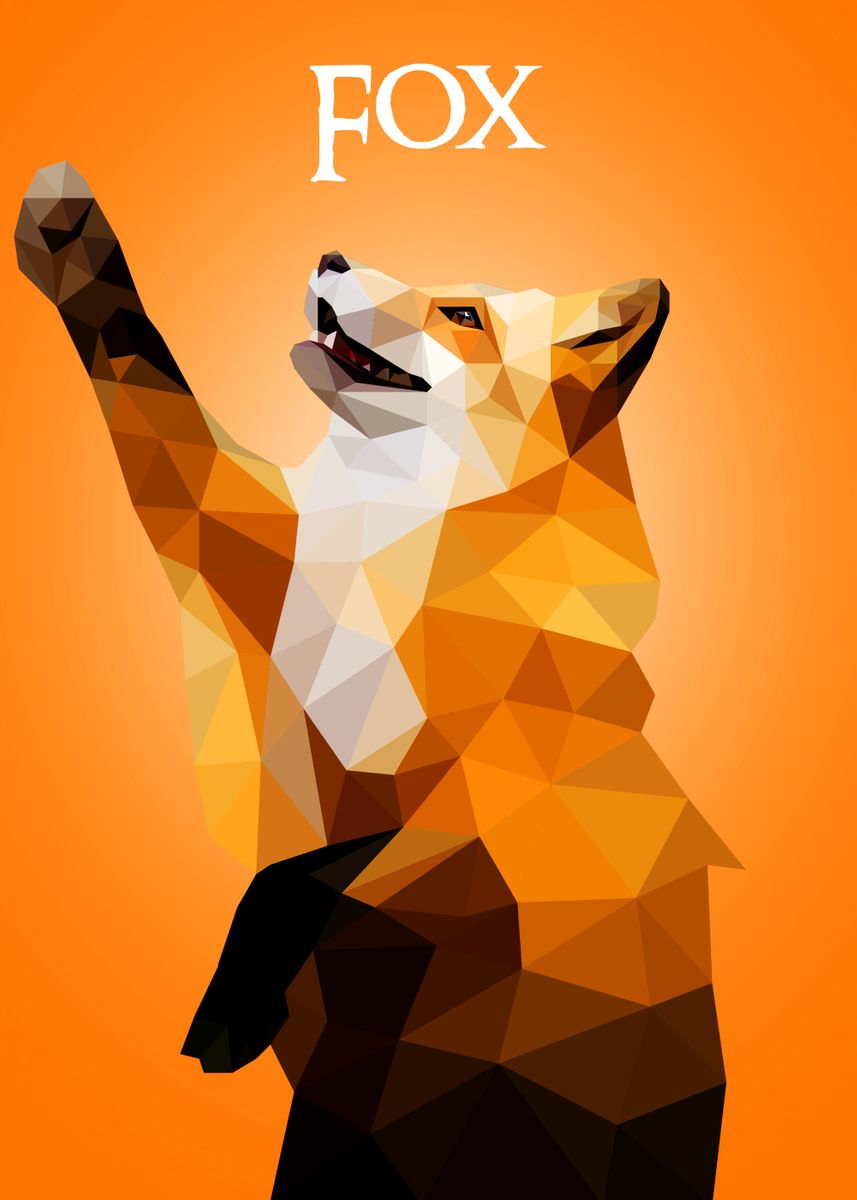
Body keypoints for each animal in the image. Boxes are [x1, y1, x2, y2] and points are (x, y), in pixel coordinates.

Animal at [15, 162, 738, 1199]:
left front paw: (230, 1012)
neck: (384, 561)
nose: (330, 252)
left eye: (462, 314)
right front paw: (72, 244)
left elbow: (304, 874)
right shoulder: (279, 655)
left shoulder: (461, 800)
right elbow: (157, 406)